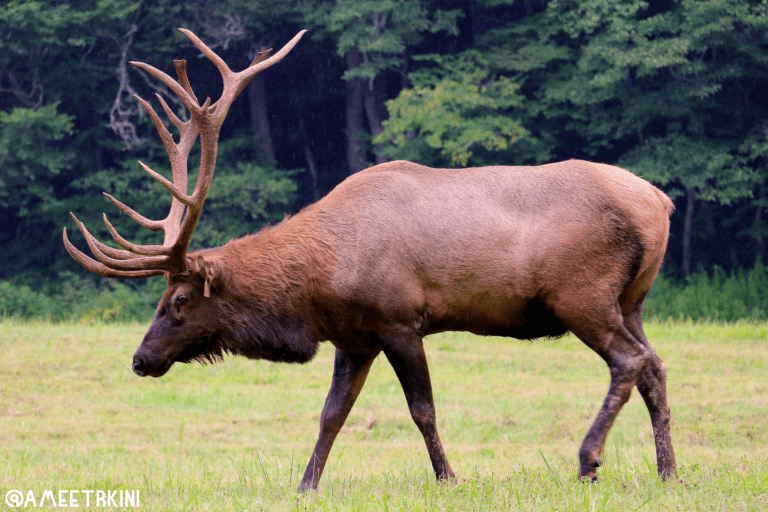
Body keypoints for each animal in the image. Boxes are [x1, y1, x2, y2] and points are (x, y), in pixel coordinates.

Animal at [63, 28, 677, 491]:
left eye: (180, 300)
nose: (141, 359)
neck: (319, 286)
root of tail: (660, 203)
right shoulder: (353, 336)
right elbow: (331, 413)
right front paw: (305, 485)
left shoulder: (399, 320)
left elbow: (422, 409)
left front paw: (448, 479)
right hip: (632, 300)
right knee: (655, 365)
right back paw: (669, 471)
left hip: (582, 295)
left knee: (629, 361)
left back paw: (588, 460)